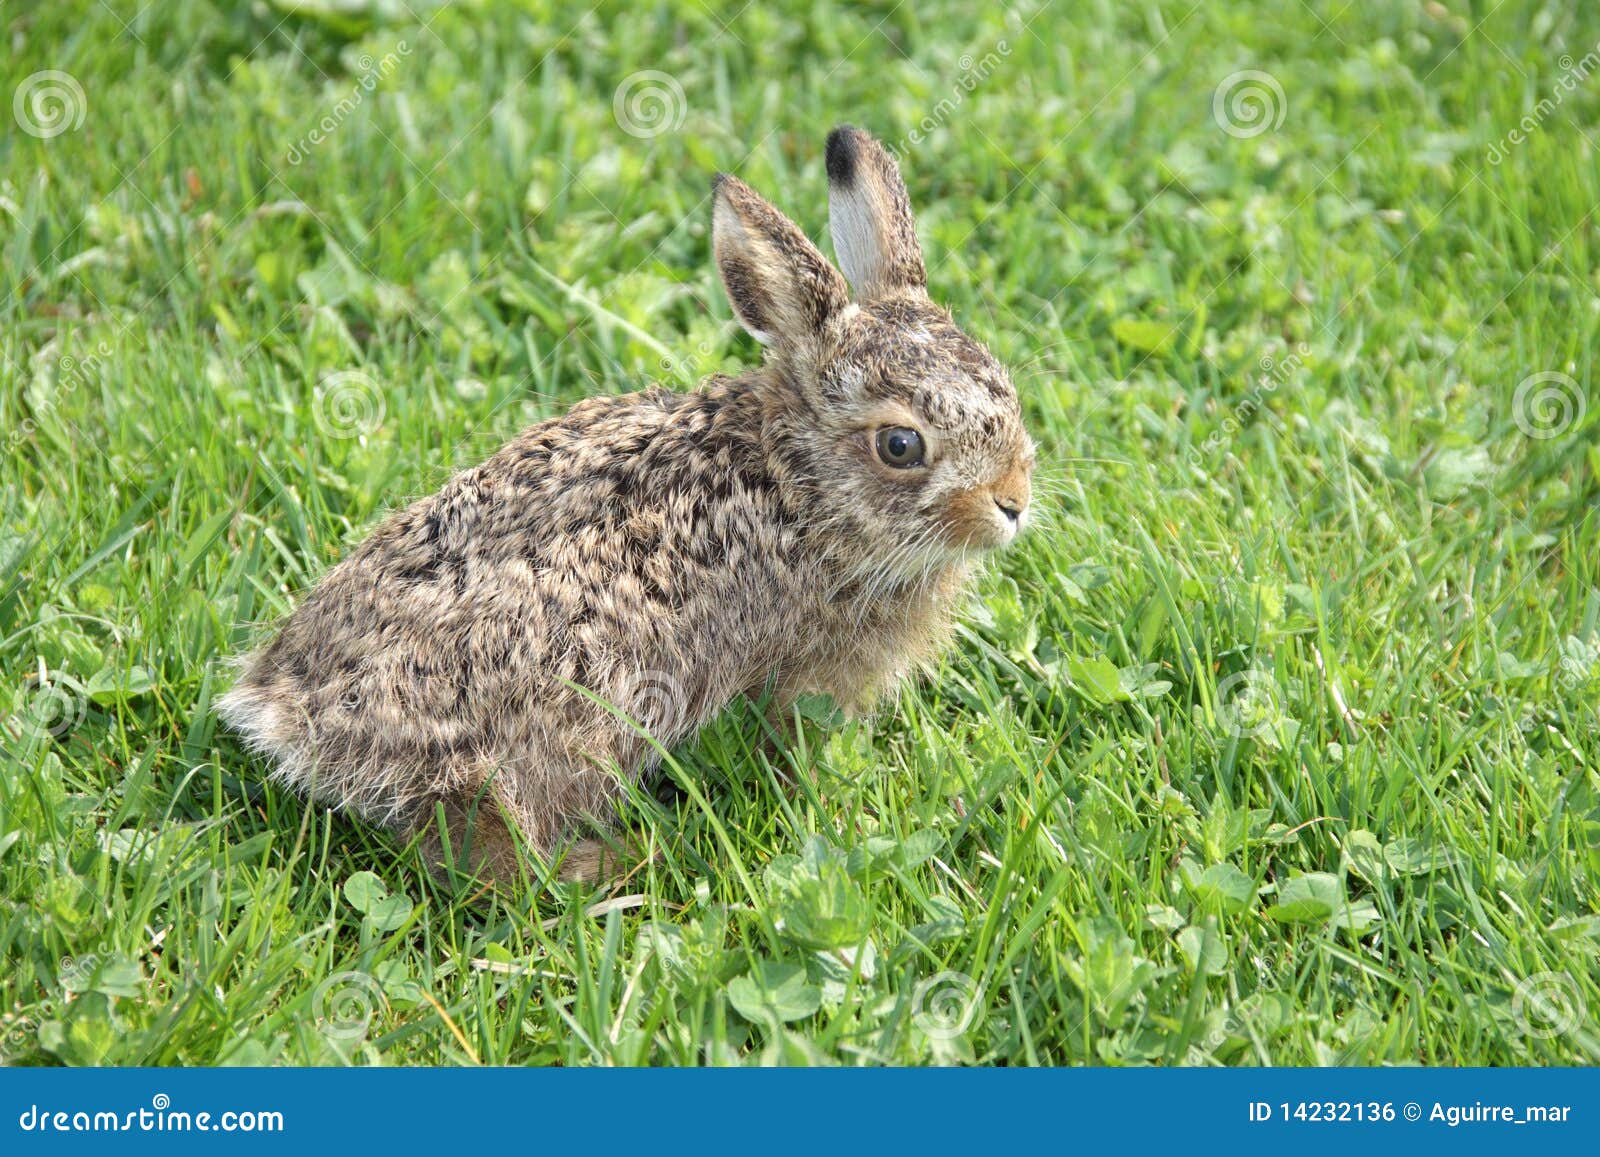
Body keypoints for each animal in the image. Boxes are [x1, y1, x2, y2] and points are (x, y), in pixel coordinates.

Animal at [217, 125, 1035, 886]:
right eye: (900, 445)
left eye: (1003, 384)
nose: (1014, 502)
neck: (799, 486)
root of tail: (290, 714)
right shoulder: (805, 673)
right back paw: (612, 862)